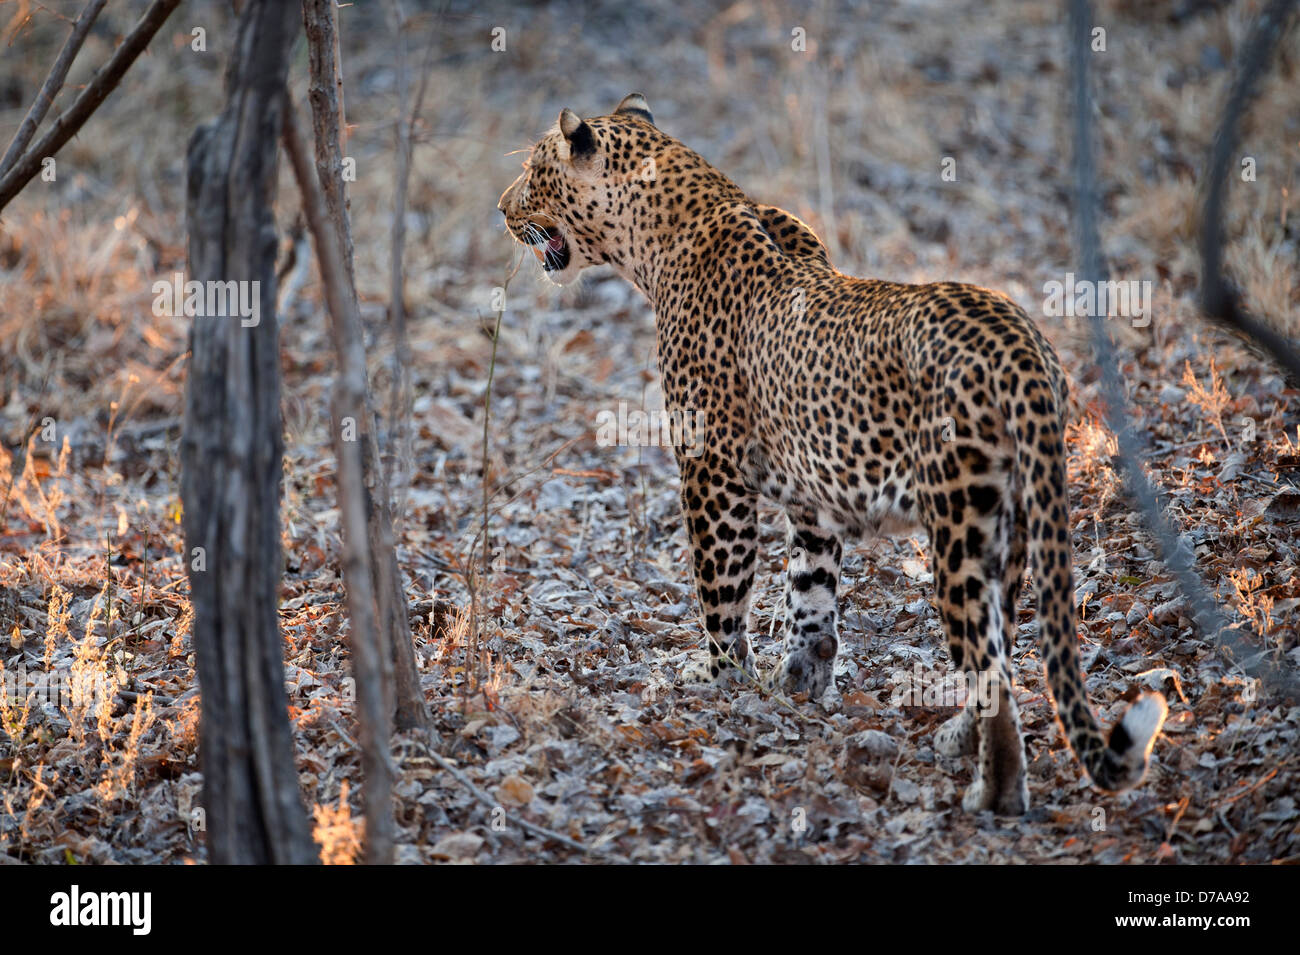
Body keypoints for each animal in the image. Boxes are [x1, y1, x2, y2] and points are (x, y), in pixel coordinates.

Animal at [497, 93, 1167, 814]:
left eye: (533, 172)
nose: (502, 207)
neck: (667, 233)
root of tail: (1021, 346)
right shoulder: (810, 491)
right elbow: (810, 588)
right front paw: (801, 677)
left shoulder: (713, 474)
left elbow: (721, 586)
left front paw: (721, 677)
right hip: (1012, 525)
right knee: (1002, 644)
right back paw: (959, 739)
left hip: (959, 522)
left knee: (990, 667)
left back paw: (995, 790)